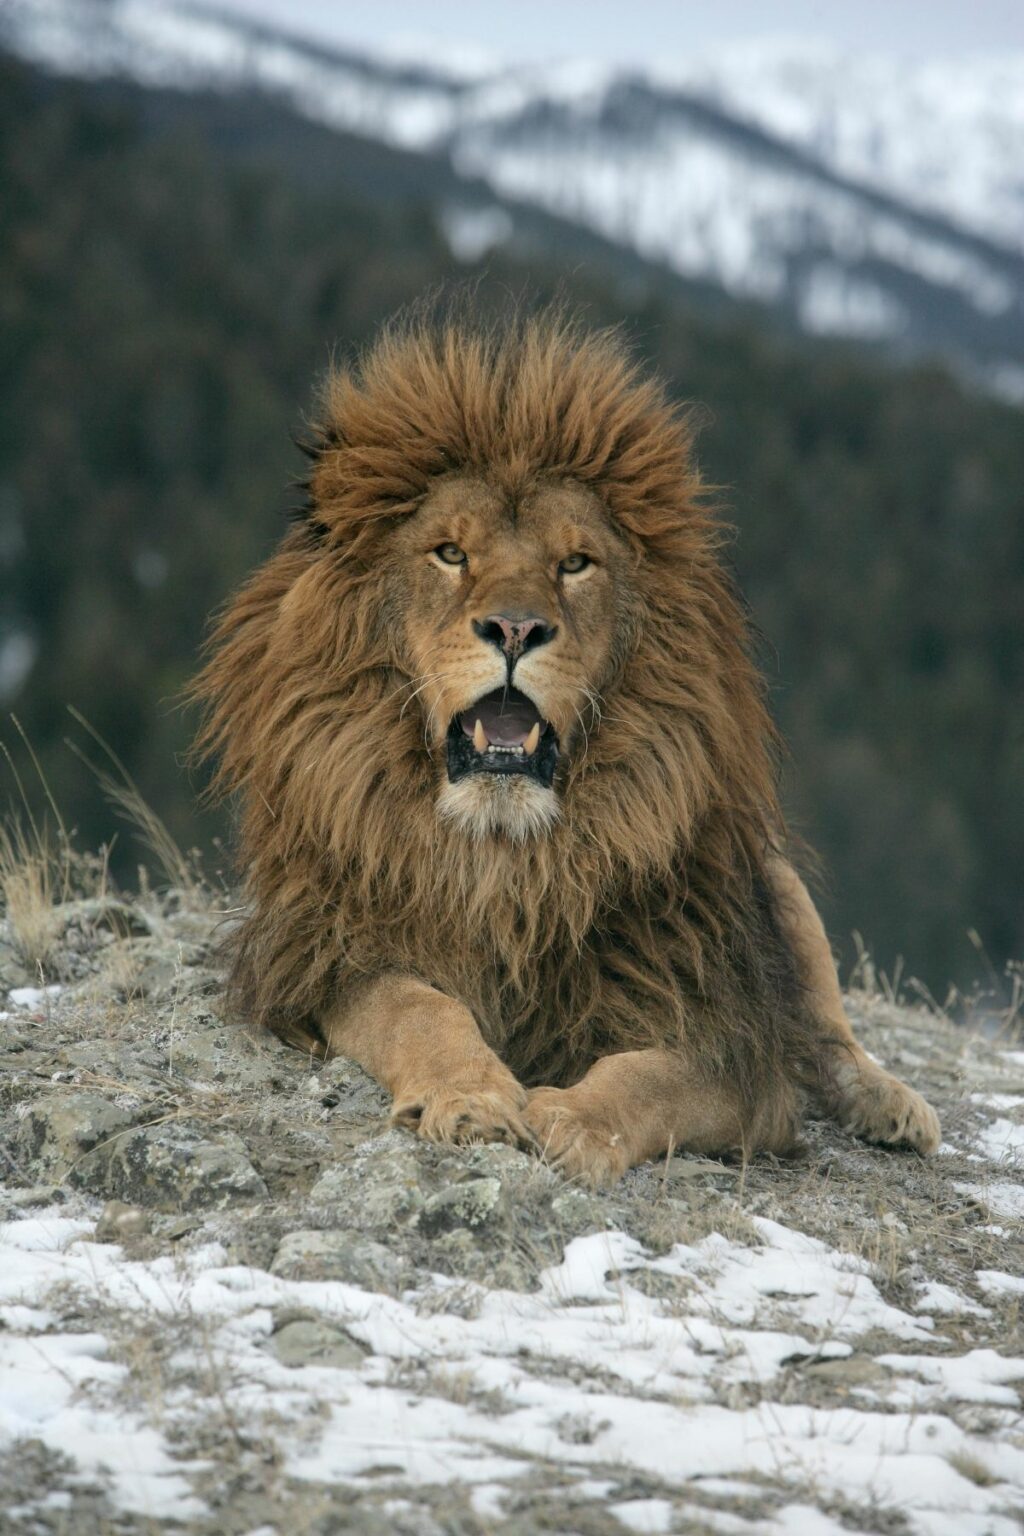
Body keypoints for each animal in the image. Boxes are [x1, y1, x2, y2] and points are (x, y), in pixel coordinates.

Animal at [192, 309, 940, 1185]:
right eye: (451, 553)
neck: (505, 859)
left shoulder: (723, 1031)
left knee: (829, 1037)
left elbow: (653, 1076)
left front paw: (574, 1119)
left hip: (780, 892)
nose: (515, 627)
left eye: (575, 563)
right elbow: (419, 1008)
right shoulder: (333, 956)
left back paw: (894, 1107)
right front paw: (471, 1097)